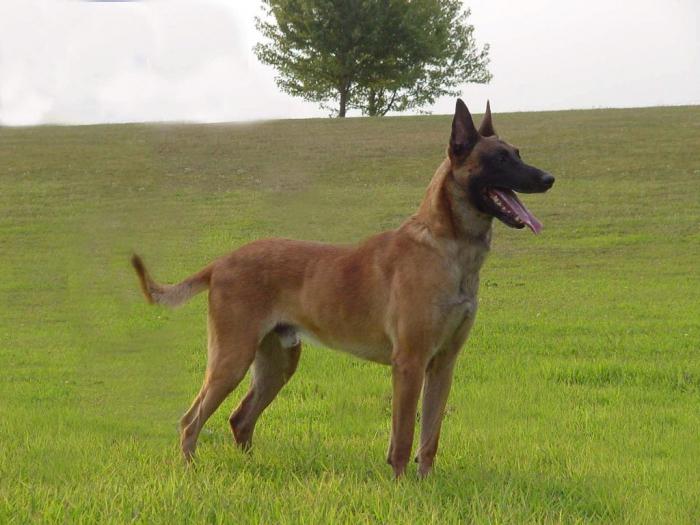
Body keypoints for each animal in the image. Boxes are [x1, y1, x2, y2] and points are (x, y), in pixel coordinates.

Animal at [131, 99, 556, 478]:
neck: (446, 246)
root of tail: (221, 261)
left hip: (277, 363)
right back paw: (191, 472)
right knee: (191, 420)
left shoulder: (443, 364)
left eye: (518, 153)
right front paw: (402, 486)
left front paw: (425, 482)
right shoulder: (410, 362)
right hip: (232, 358)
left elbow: (429, 438)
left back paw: (252, 468)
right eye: (499, 159)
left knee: (240, 419)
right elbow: (404, 437)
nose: (548, 179)